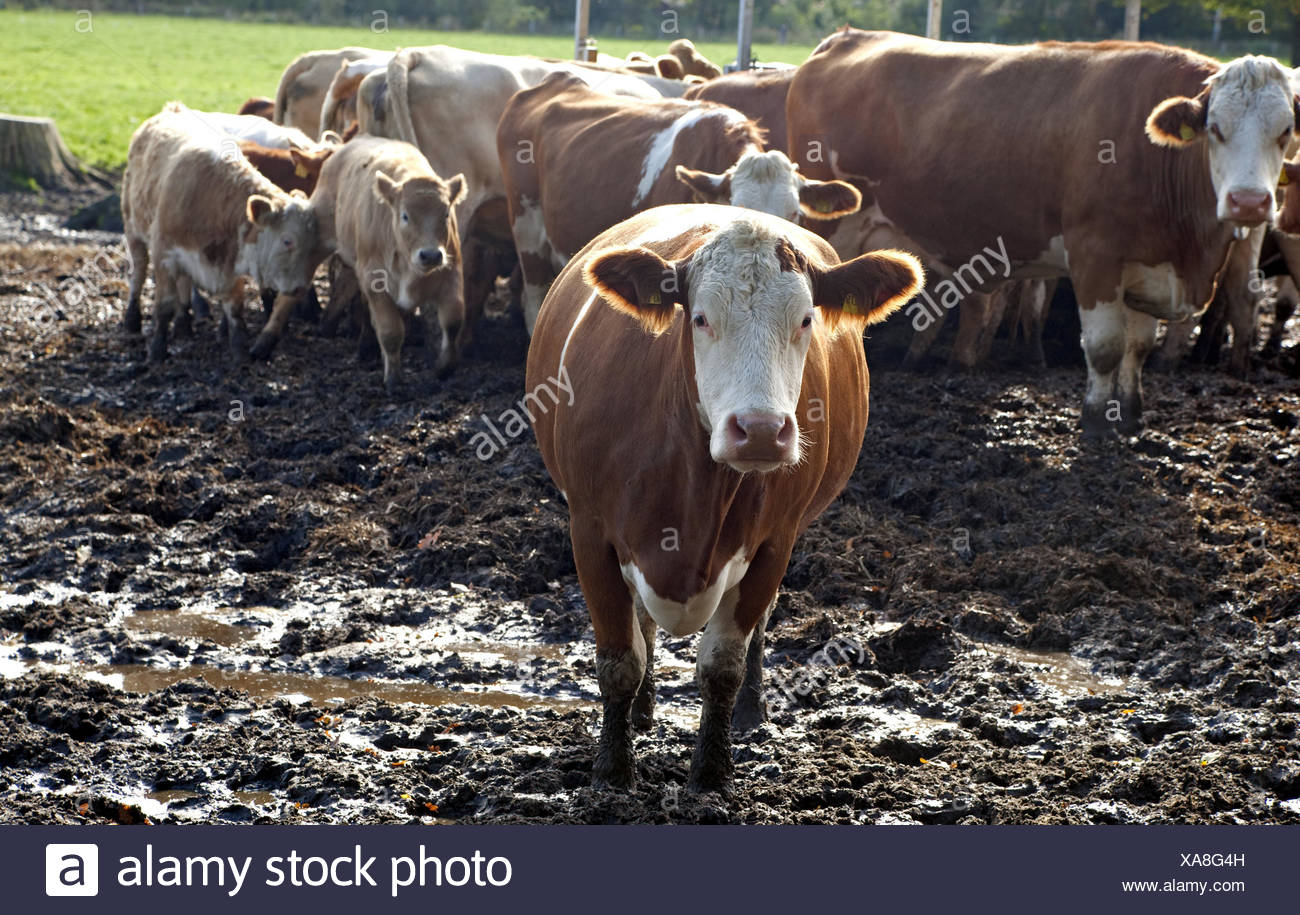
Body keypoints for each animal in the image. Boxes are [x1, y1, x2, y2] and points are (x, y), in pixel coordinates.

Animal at [121, 102, 321, 363]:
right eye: (287, 241)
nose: (300, 289)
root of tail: (173, 108)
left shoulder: (229, 263)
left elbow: (234, 309)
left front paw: (239, 352)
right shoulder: (163, 252)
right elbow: (163, 305)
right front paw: (156, 351)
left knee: (184, 283)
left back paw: (183, 324)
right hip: (133, 228)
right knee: (139, 272)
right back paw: (132, 319)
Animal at [308, 136, 466, 391]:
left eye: (445, 215)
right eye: (405, 216)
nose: (431, 255)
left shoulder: (451, 275)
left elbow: (453, 320)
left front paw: (444, 367)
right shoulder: (375, 282)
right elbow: (390, 331)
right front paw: (393, 378)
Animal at [527, 204, 921, 792]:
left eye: (805, 320)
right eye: (700, 318)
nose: (760, 431)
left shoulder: (774, 541)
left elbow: (722, 665)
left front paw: (712, 773)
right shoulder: (590, 529)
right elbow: (620, 661)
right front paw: (613, 772)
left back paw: (752, 712)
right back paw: (643, 712)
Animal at [788, 29, 1298, 437]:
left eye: (1286, 131)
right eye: (1215, 128)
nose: (1249, 202)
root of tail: (845, 38)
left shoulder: (1149, 265)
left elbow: (1138, 347)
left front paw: (1130, 413)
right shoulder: (1094, 255)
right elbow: (1105, 348)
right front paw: (1095, 421)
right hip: (830, 223)